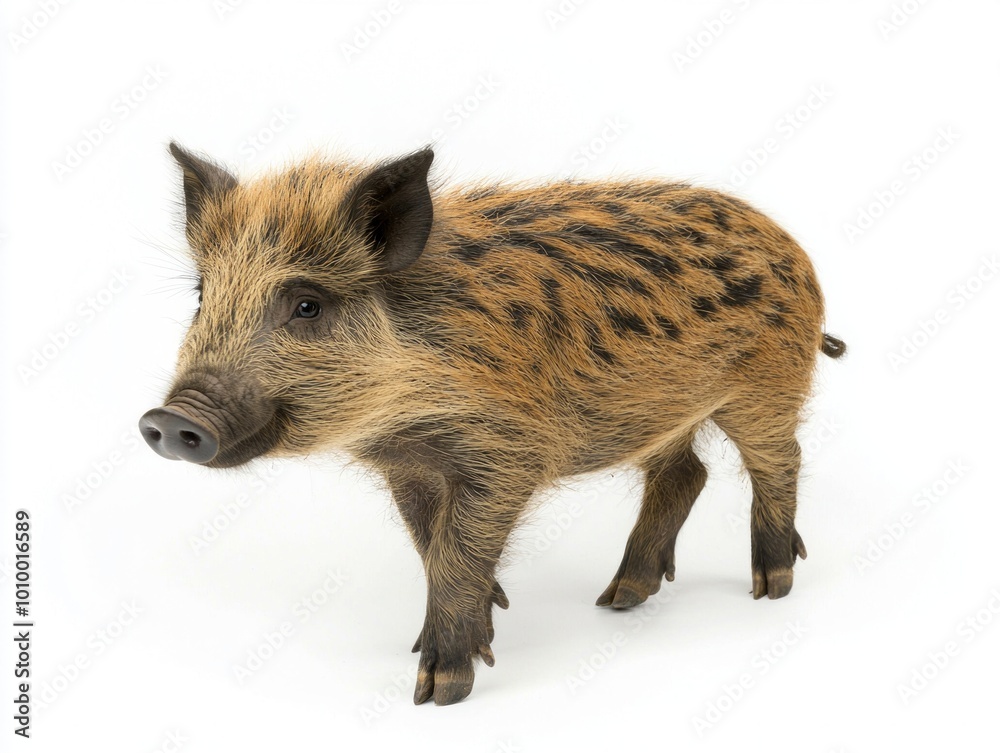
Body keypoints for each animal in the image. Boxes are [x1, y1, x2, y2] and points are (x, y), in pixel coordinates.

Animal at [140, 142, 845, 705]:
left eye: (307, 305)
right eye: (203, 295)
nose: (168, 419)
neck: (407, 410)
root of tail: (791, 245)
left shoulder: (504, 454)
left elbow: (457, 550)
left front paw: (438, 691)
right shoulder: (411, 468)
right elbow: (430, 543)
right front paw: (483, 621)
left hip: (765, 387)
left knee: (780, 461)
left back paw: (770, 587)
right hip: (659, 413)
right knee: (686, 472)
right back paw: (618, 598)